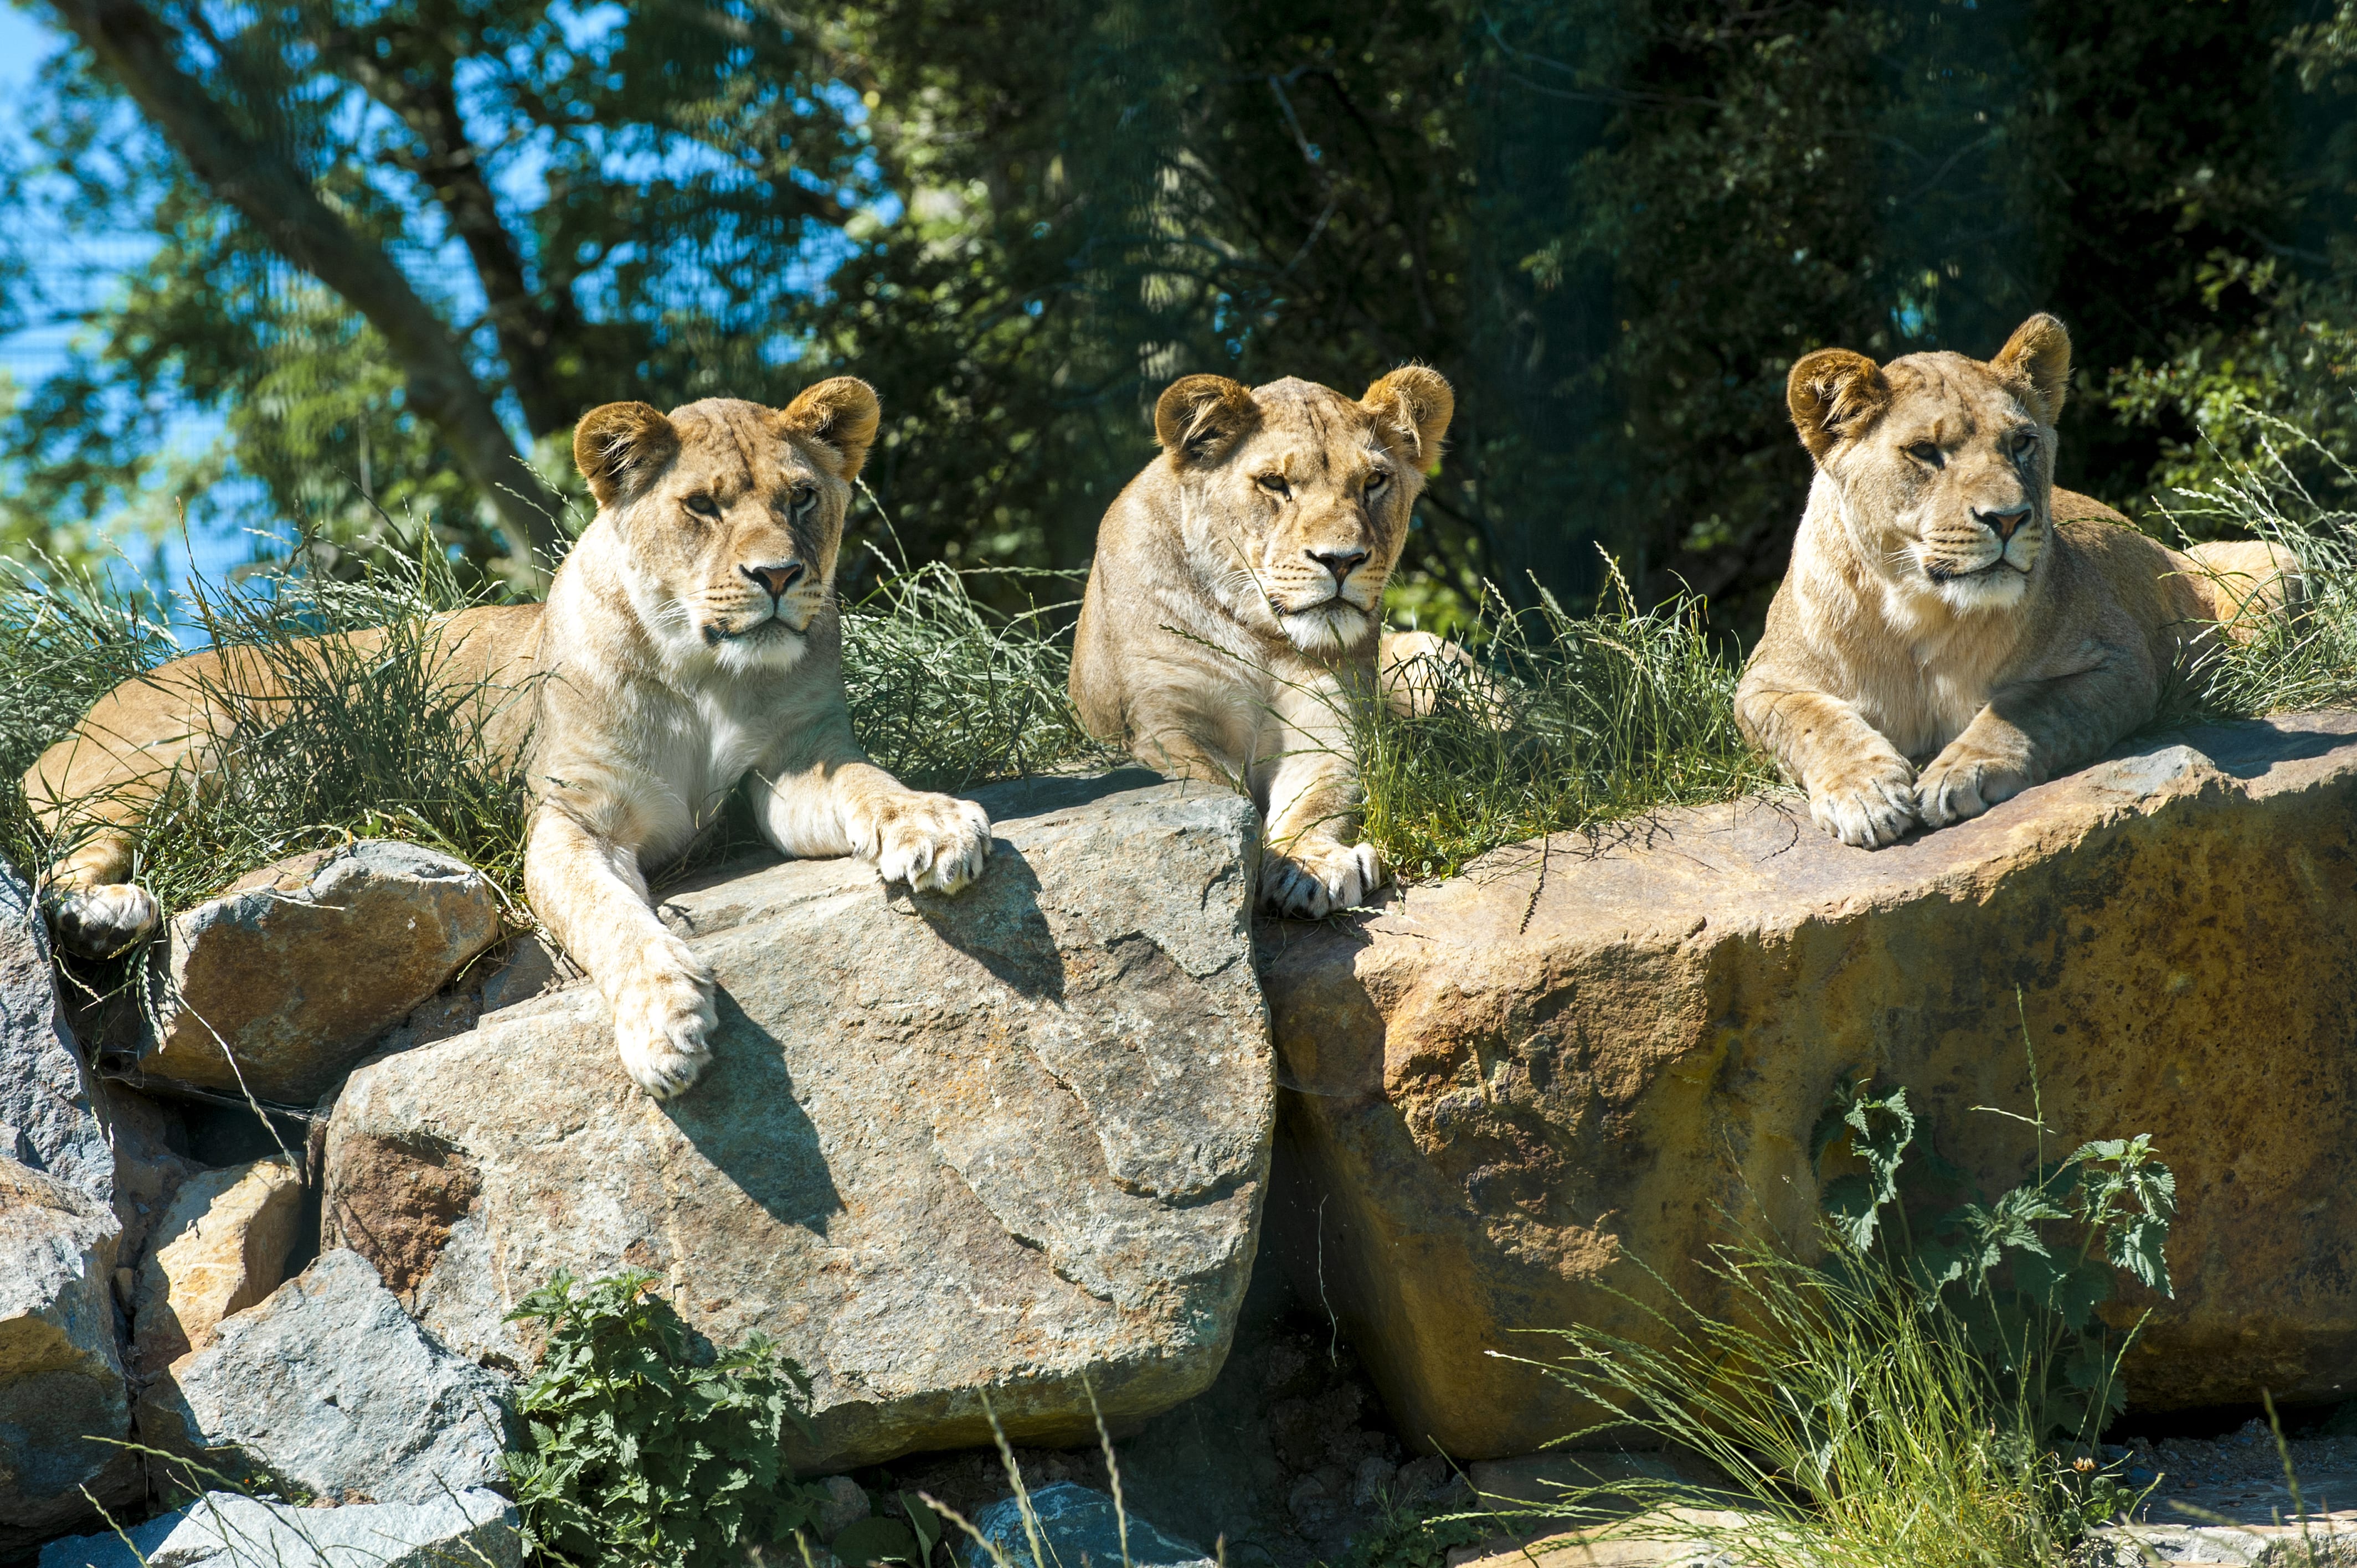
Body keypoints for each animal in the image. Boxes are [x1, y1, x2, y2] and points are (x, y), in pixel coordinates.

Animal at [26, 379, 992, 1098]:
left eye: (802, 497)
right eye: (702, 508)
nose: (781, 576)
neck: (705, 675)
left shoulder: (798, 764)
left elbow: (873, 784)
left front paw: (936, 826)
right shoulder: (569, 822)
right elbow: (612, 921)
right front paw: (664, 1023)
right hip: (180, 756)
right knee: (62, 864)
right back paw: (105, 917)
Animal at [1069, 368, 1454, 917]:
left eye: (1373, 482)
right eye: (1275, 483)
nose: (1341, 560)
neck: (1261, 639)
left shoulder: (1330, 727)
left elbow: (1320, 801)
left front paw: (1309, 865)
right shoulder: (1164, 728)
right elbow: (1217, 791)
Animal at [1736, 313, 2300, 849]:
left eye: (2022, 443)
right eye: (1925, 452)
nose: (2007, 519)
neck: (1920, 614)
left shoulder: (2121, 661)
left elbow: (2030, 708)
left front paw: (1963, 771)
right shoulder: (1763, 685)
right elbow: (1818, 725)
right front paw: (1864, 793)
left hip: (2273, 562)